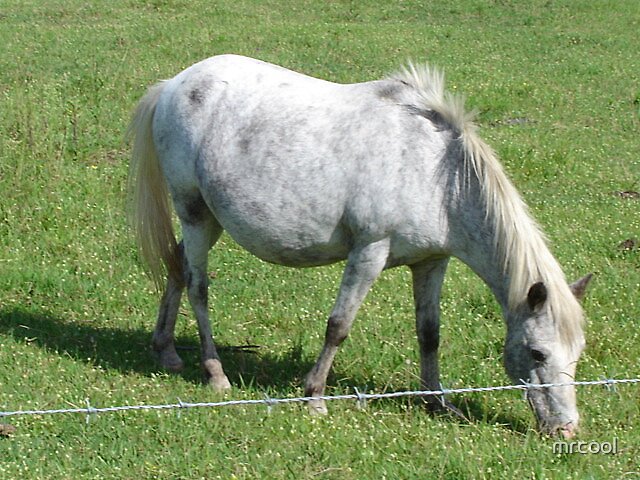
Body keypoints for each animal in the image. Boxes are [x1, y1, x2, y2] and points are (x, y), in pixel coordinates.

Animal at [127, 54, 592, 438]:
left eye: (577, 354)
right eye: (536, 353)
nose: (567, 429)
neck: (437, 176)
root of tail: (174, 84)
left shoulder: (431, 261)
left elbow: (429, 334)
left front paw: (437, 401)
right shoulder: (369, 251)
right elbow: (338, 326)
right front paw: (314, 397)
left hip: (210, 219)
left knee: (176, 266)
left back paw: (167, 351)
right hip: (194, 213)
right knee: (197, 285)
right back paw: (215, 373)